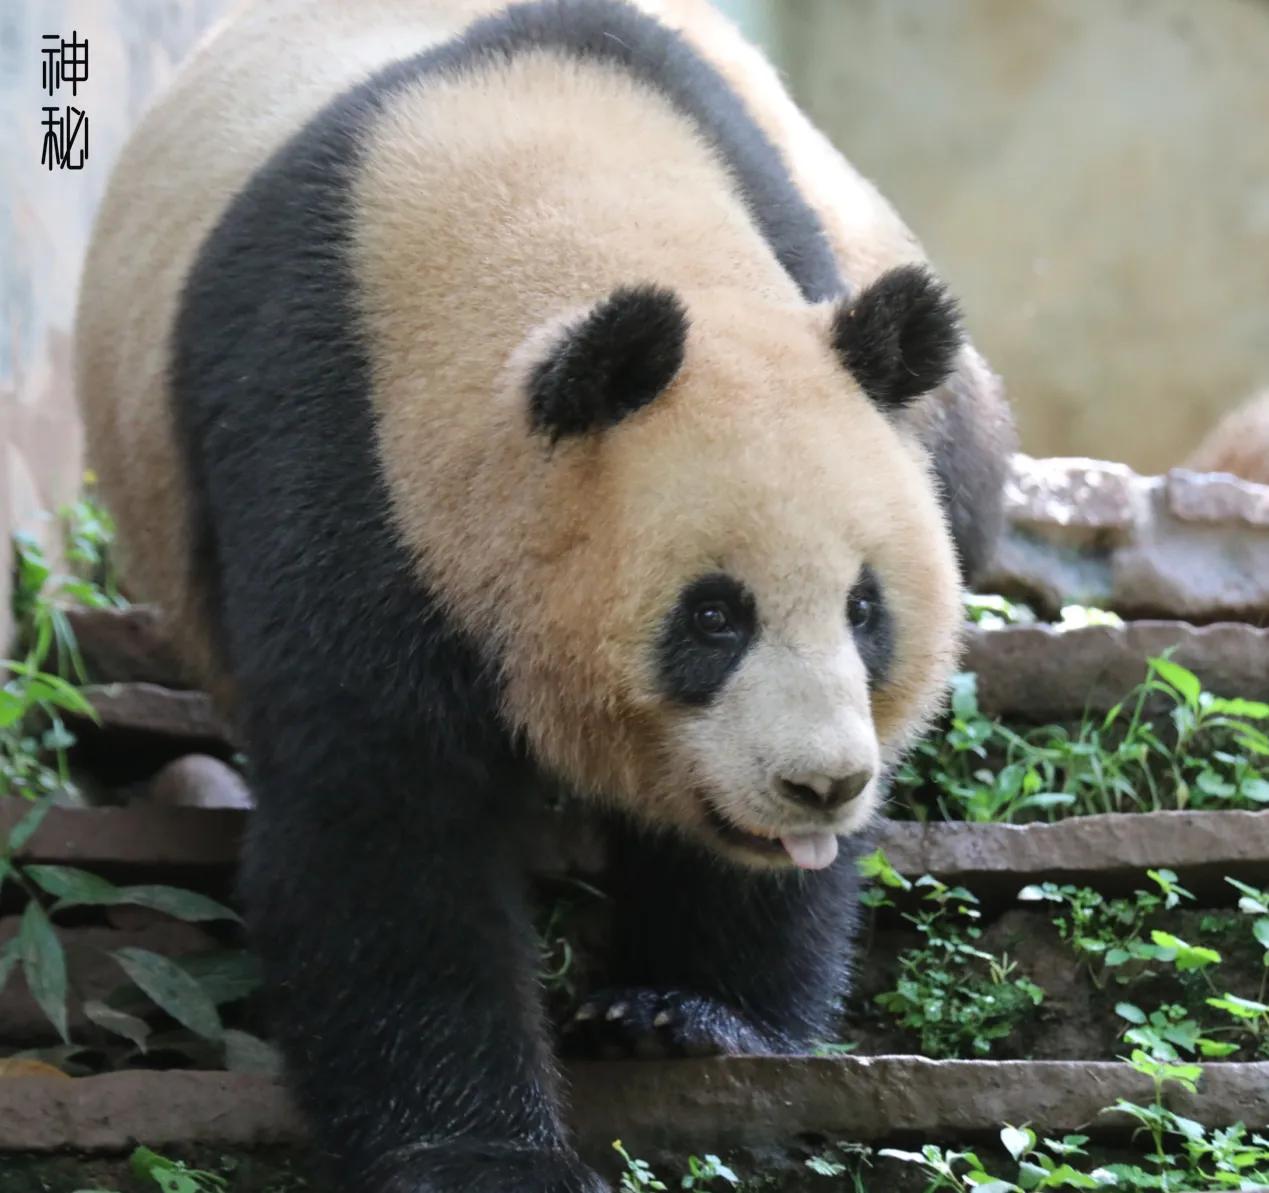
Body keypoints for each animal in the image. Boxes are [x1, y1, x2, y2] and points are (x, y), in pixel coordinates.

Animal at [75, 1, 1011, 1190]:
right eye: (713, 615)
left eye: (863, 608)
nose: (820, 785)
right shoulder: (332, 440)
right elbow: (381, 815)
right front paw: (482, 1151)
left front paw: (681, 1013)